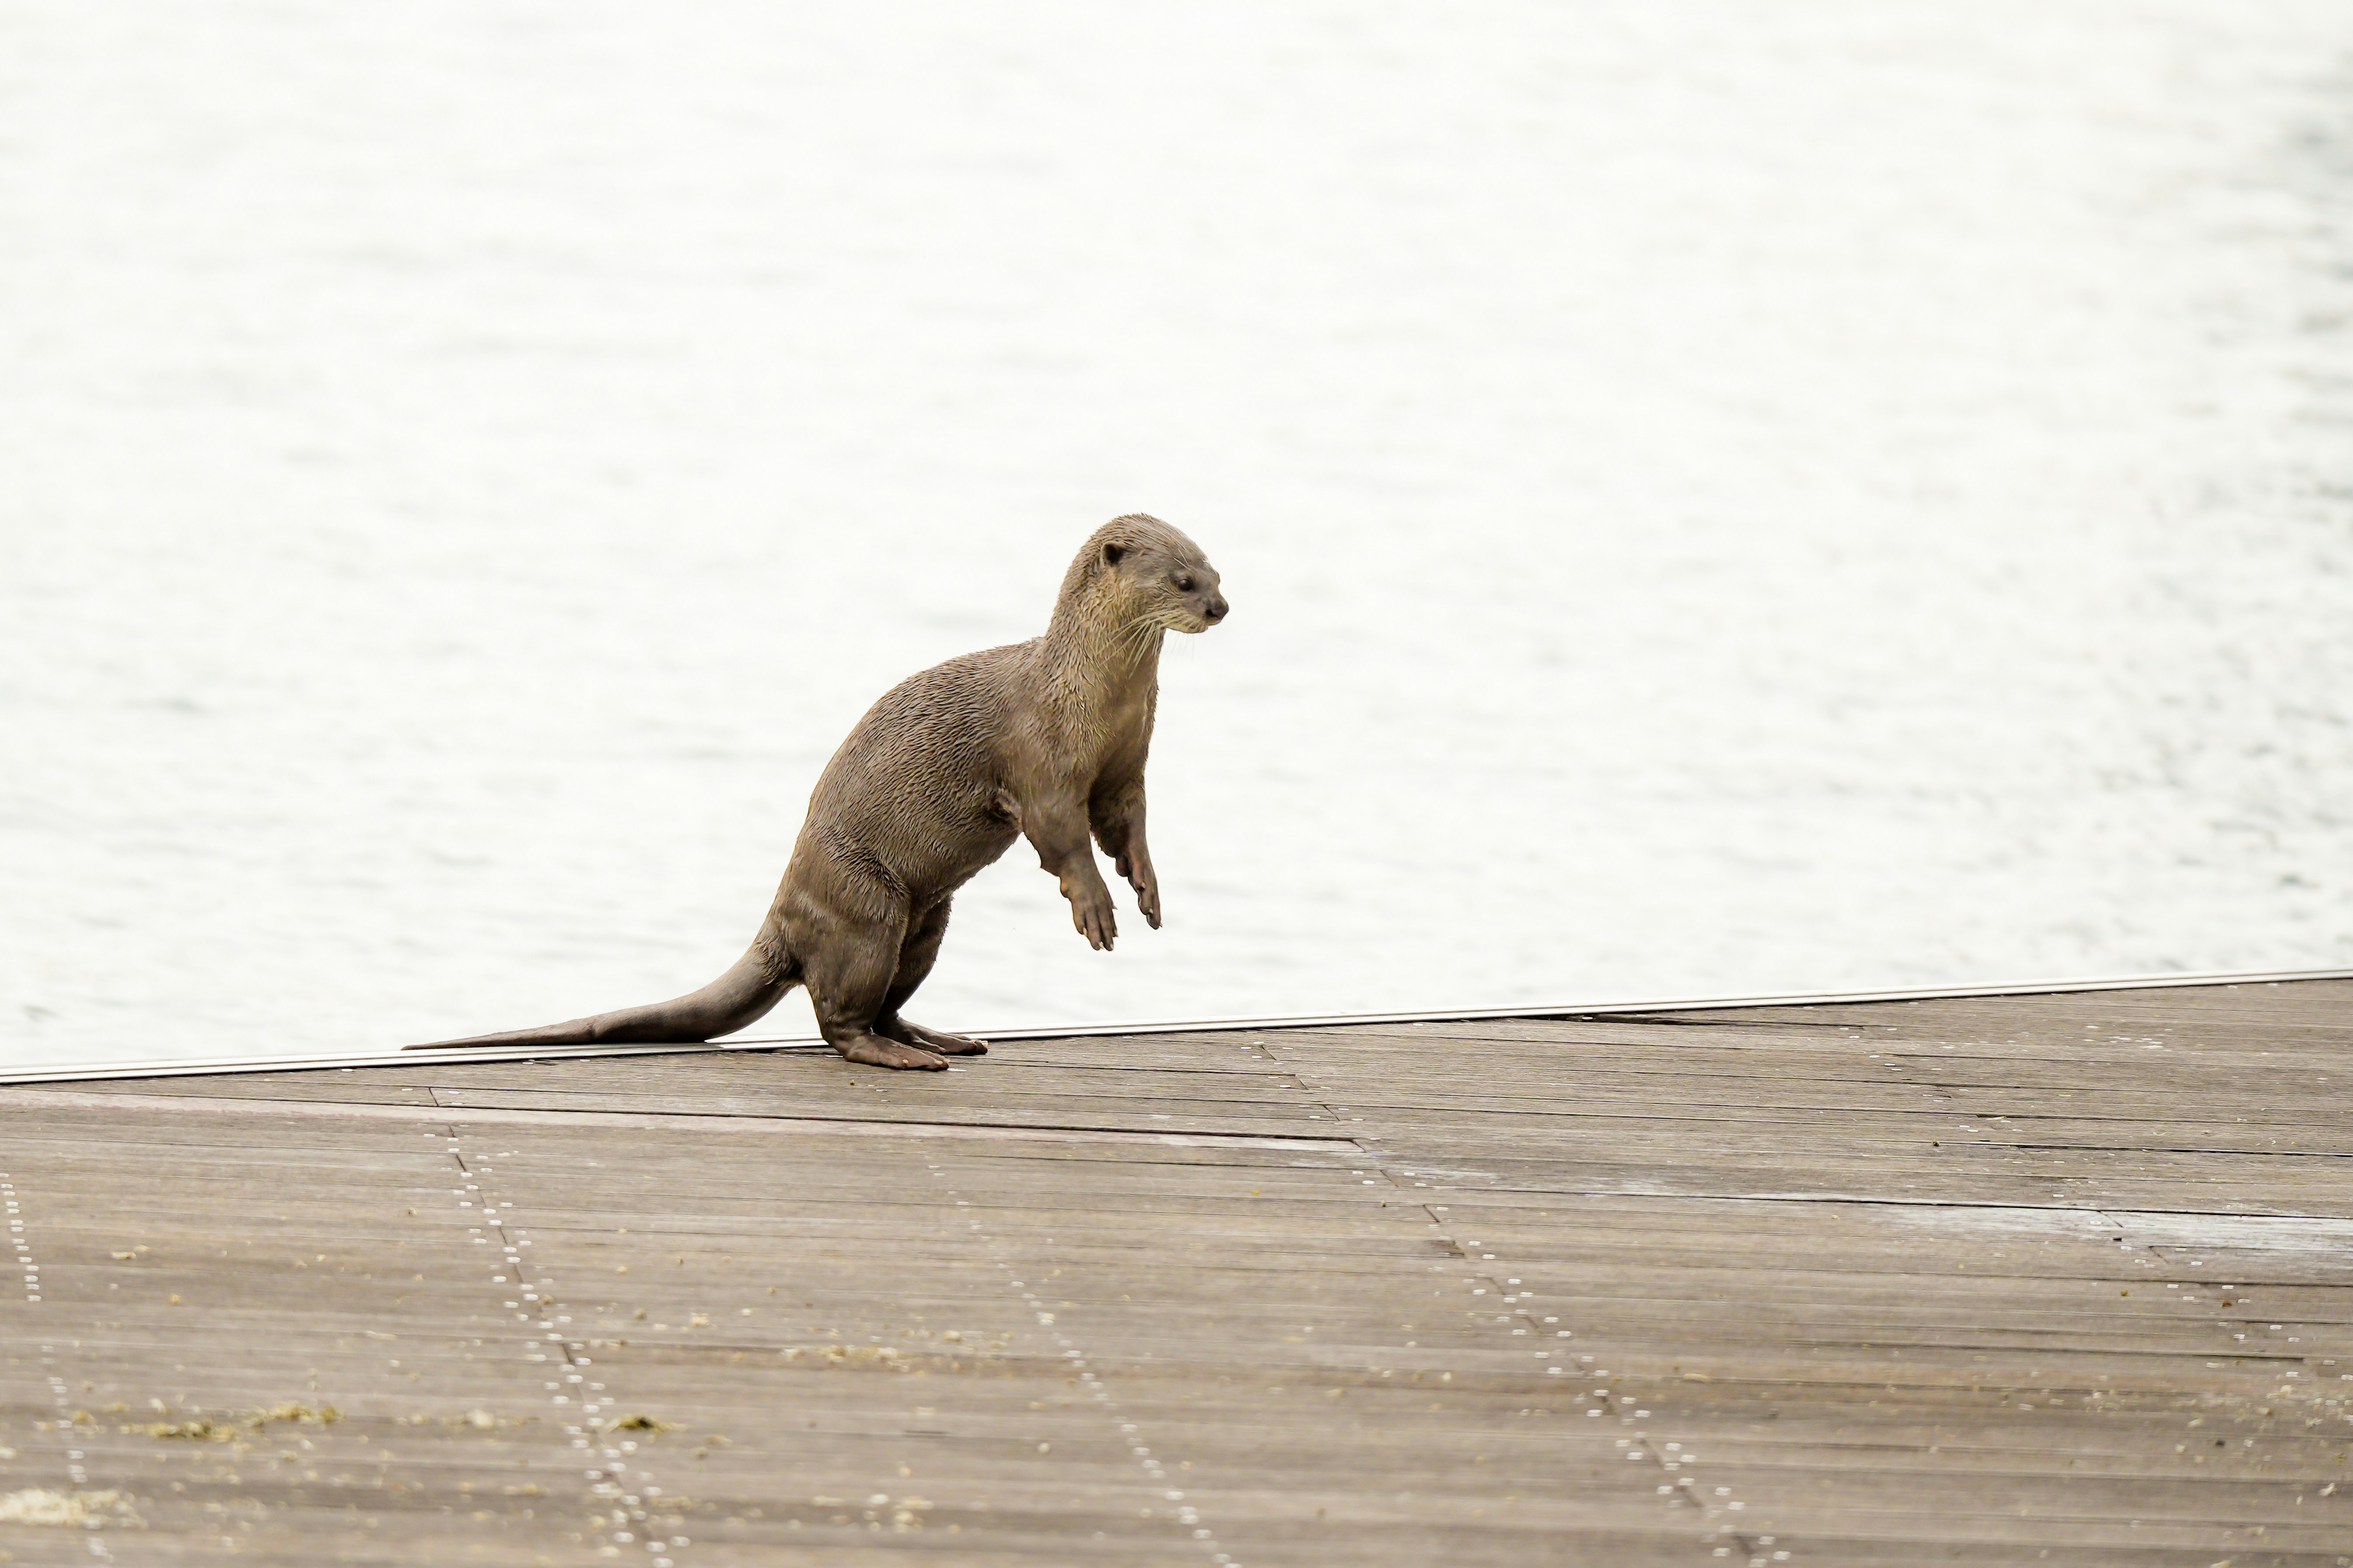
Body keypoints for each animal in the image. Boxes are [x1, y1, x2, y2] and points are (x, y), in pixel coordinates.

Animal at [414, 515, 1228, 1071]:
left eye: (1215, 570)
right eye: (1181, 581)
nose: (1220, 607)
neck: (1092, 698)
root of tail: (785, 914)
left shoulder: (1125, 765)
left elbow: (1125, 825)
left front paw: (1147, 887)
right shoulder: (1039, 763)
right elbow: (1062, 838)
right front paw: (1095, 908)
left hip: (924, 922)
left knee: (885, 1001)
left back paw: (938, 1037)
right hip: (867, 908)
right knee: (836, 1019)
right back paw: (900, 1054)